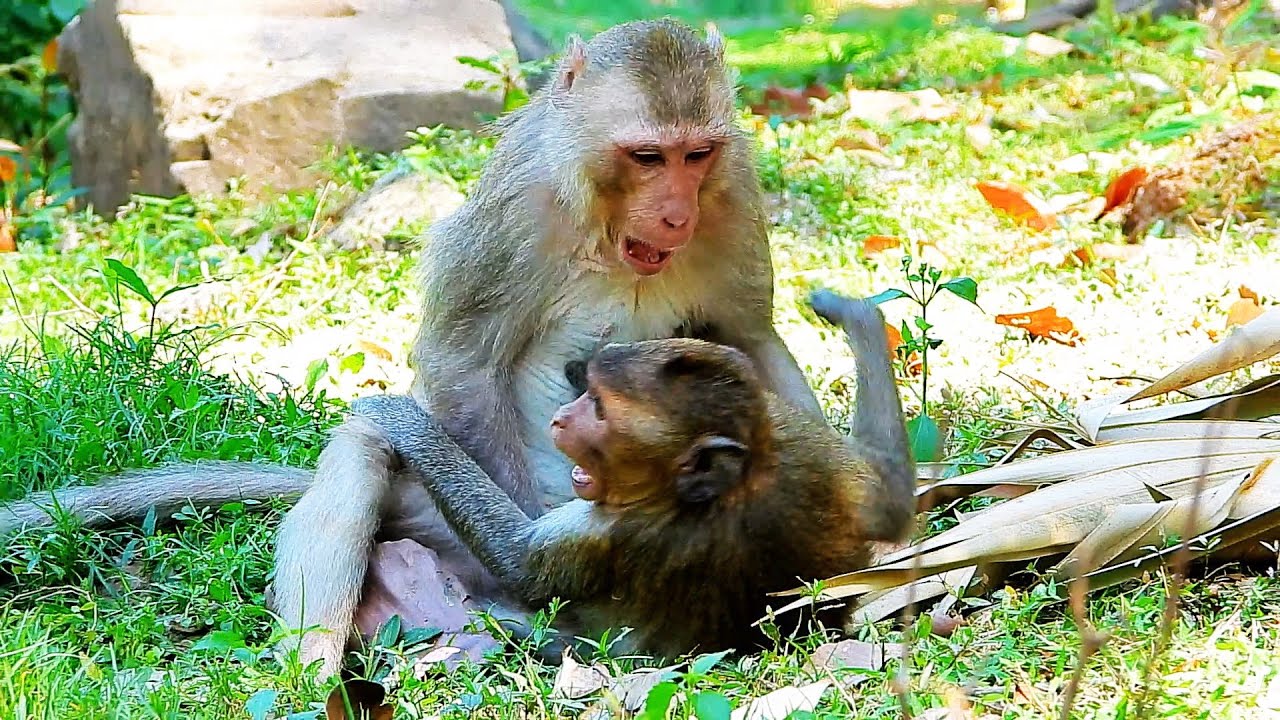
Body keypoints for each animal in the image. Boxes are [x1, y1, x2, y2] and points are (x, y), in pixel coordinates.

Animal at [0, 19, 827, 678]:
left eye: (697, 155)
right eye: (648, 158)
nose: (677, 214)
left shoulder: (735, 192)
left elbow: (752, 338)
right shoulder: (517, 211)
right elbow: (464, 359)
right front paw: (531, 576)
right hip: (427, 511)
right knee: (370, 449)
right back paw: (318, 671)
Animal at [347, 289, 915, 660]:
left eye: (599, 410)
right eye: (590, 398)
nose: (562, 418)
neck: (739, 479)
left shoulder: (612, 532)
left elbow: (516, 562)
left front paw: (400, 418)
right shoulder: (789, 434)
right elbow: (889, 503)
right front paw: (860, 316)